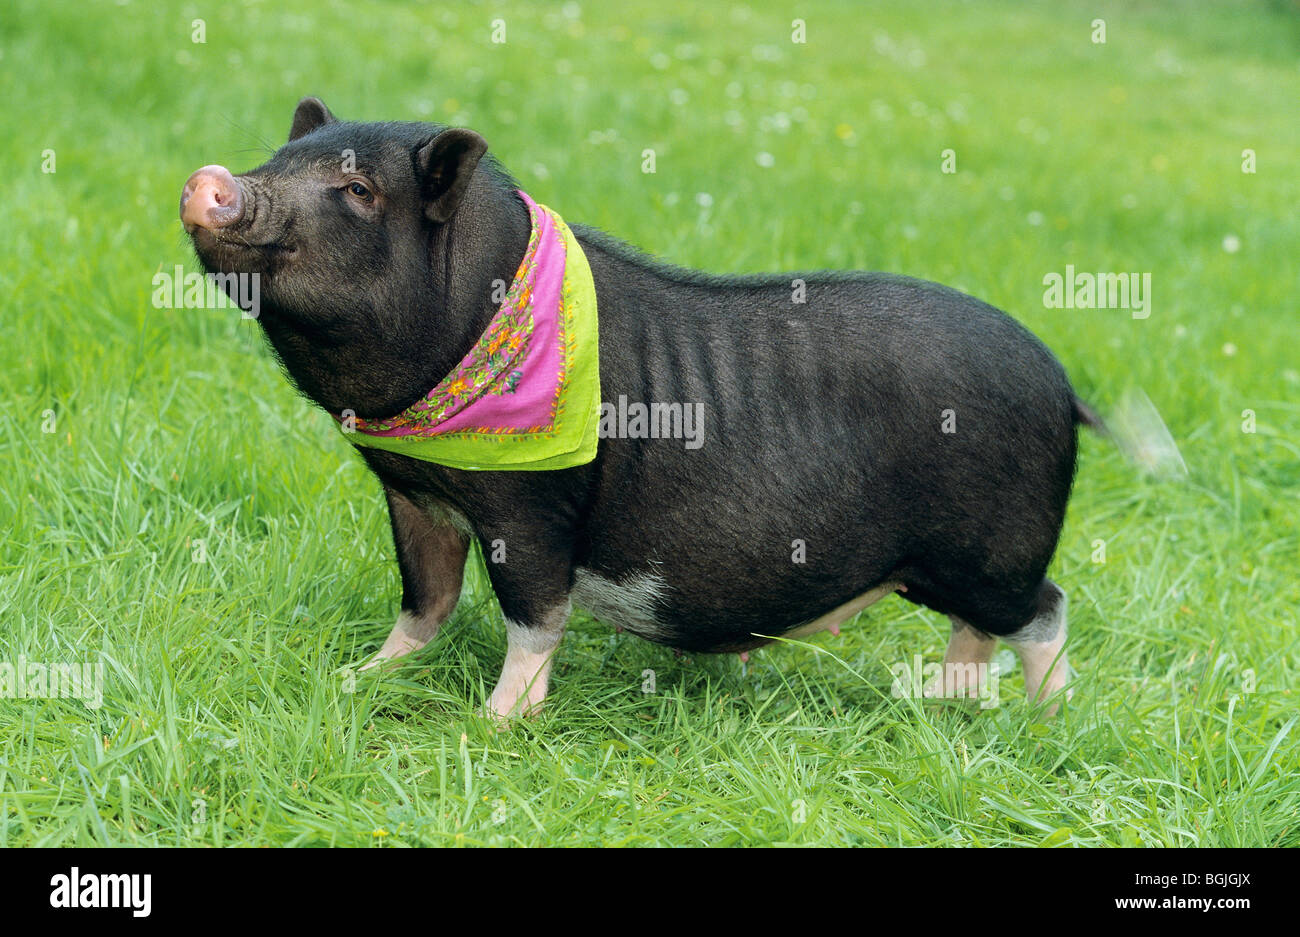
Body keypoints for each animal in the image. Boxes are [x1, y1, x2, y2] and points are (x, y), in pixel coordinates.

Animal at [181, 97, 1098, 720]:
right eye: (279, 156)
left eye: (359, 189)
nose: (208, 180)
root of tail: (1063, 385)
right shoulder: (416, 494)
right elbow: (424, 601)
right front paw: (359, 677)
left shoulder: (533, 504)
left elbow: (533, 614)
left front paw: (492, 722)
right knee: (982, 630)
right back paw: (944, 706)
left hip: (992, 549)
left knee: (1045, 609)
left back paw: (1044, 720)